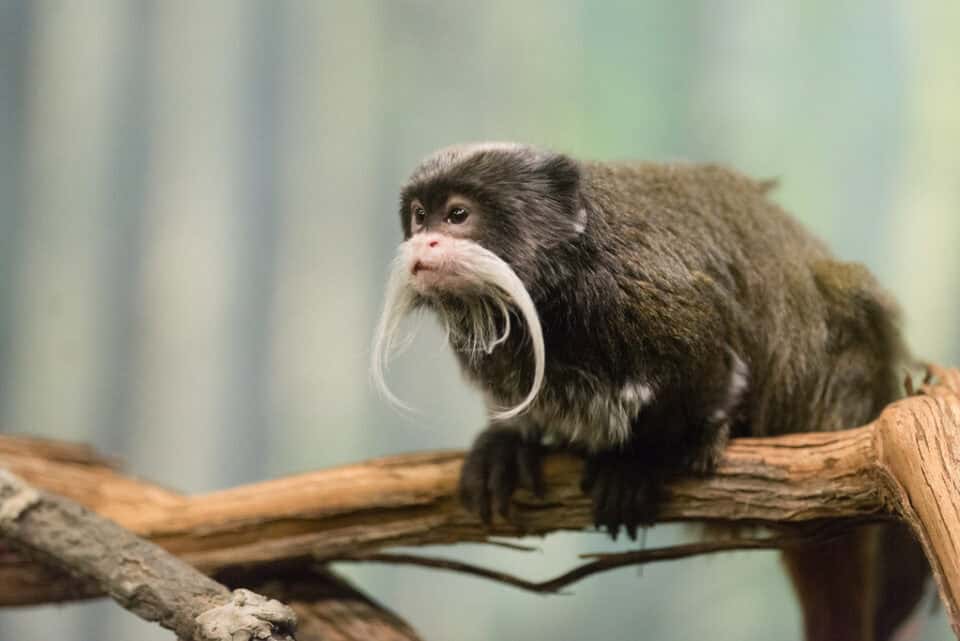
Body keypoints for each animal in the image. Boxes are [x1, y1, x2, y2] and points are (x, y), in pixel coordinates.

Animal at [371, 142, 931, 641]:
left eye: (457, 215)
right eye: (420, 217)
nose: (424, 244)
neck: (560, 285)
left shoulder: (655, 295)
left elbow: (714, 360)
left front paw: (639, 460)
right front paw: (509, 443)